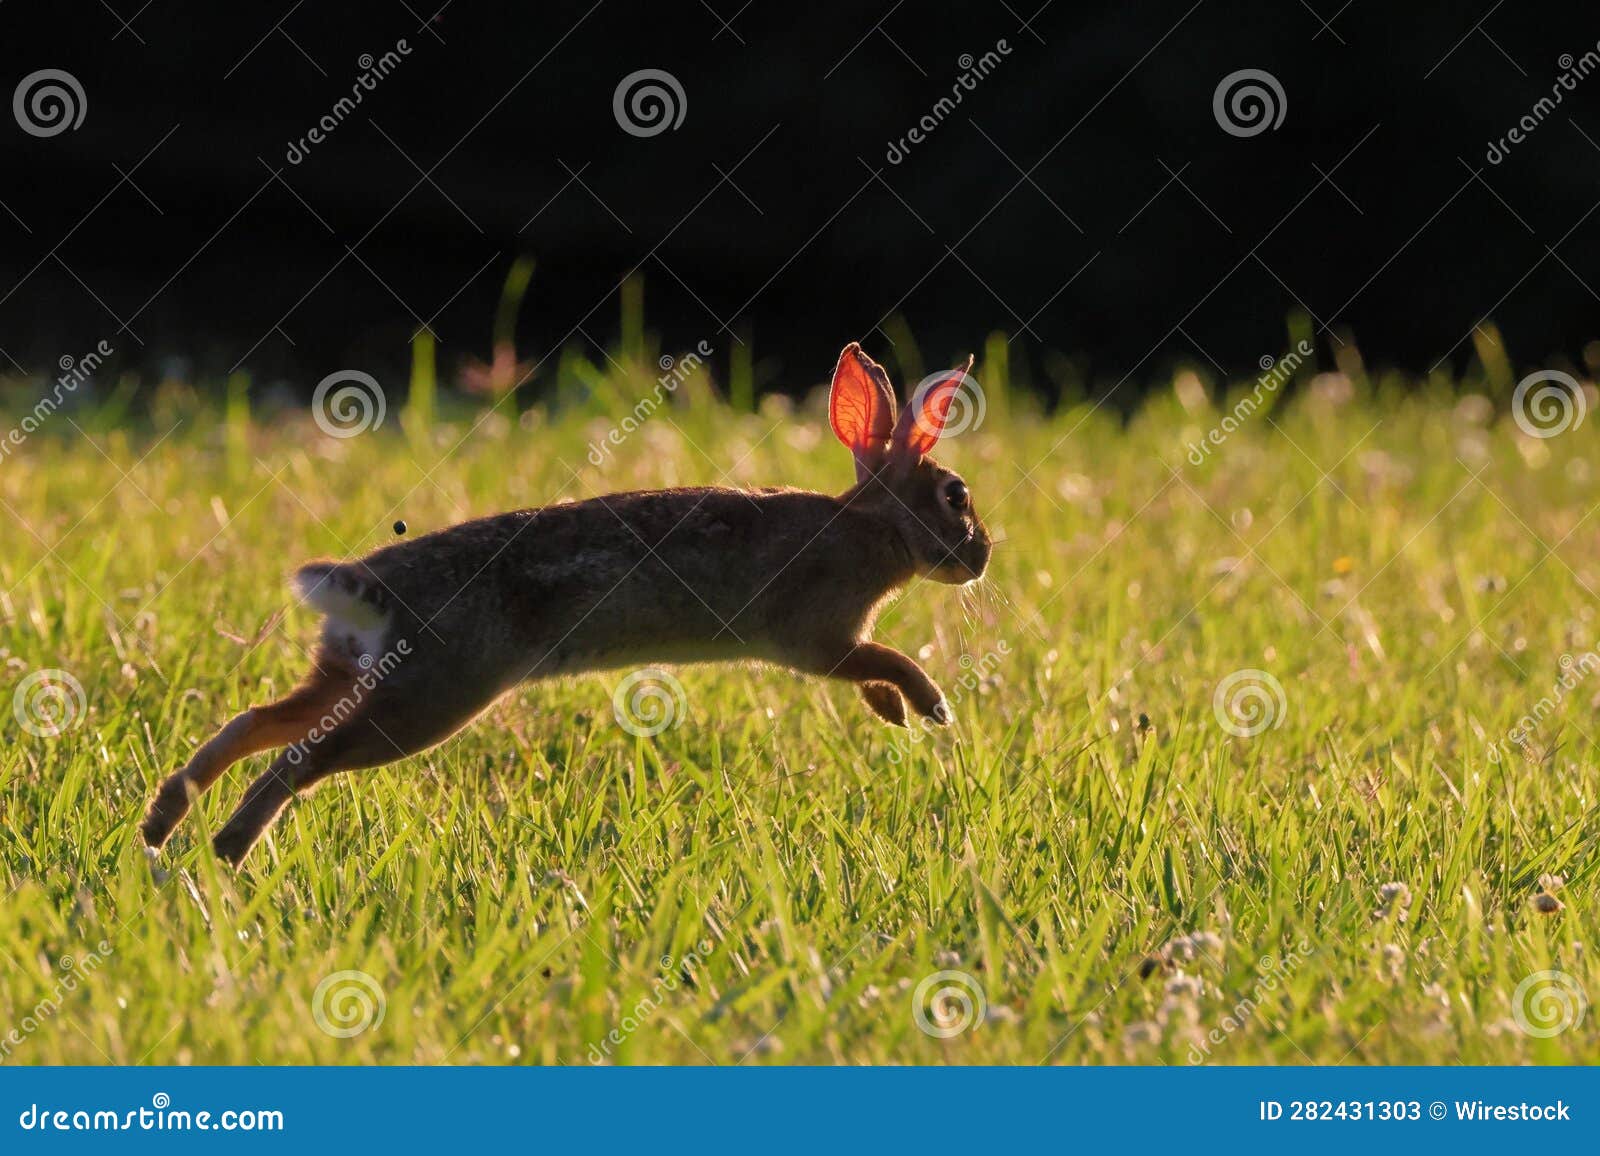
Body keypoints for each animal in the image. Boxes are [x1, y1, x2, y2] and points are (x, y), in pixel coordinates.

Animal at [141, 342, 991, 865]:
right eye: (955, 495)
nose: (981, 555)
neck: (870, 526)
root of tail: (364, 588)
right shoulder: (818, 639)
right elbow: (885, 658)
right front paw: (932, 708)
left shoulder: (828, 646)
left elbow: (871, 672)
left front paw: (892, 715)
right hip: (432, 695)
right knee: (302, 758)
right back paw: (226, 852)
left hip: (356, 673)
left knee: (258, 724)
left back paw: (162, 825)